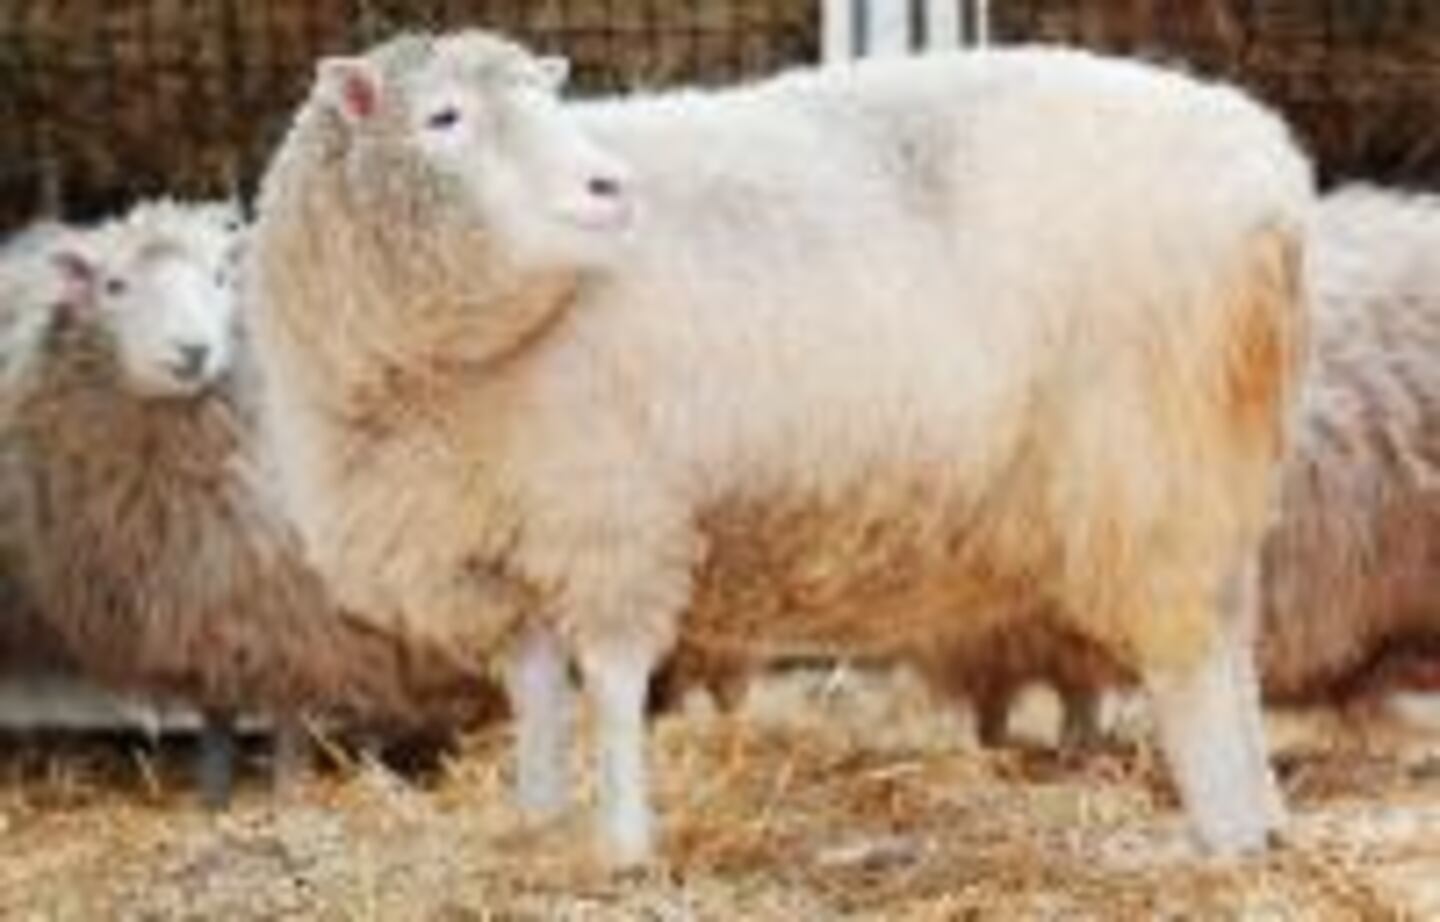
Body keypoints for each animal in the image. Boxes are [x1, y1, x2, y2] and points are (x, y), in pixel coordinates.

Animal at [1, 200, 487, 805]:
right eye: (114, 285)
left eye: (220, 278)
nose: (192, 351)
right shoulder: (213, 609)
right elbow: (221, 712)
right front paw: (214, 792)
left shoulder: (295, 613)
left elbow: (291, 718)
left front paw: (287, 793)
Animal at [246, 30, 1312, 862]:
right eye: (444, 118)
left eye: (545, 103)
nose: (610, 186)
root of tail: (1273, 175)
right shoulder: (497, 540)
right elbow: (537, 691)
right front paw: (538, 825)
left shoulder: (613, 515)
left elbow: (615, 685)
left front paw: (622, 845)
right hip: (1215, 455)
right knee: (1234, 637)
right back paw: (1263, 819)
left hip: (1148, 449)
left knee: (1191, 654)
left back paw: (1223, 833)